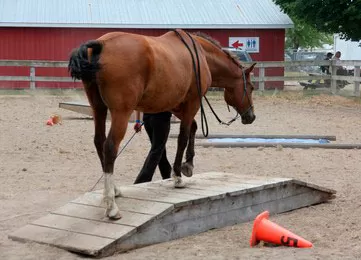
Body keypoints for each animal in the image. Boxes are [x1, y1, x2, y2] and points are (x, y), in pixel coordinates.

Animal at [68, 29, 256, 219]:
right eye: (252, 87)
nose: (251, 116)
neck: (201, 54)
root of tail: (102, 44)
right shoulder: (192, 102)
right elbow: (183, 136)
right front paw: (178, 176)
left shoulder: (175, 104)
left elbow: (193, 127)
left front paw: (188, 165)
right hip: (121, 112)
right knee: (110, 146)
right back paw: (112, 206)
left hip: (98, 108)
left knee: (99, 141)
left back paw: (114, 190)